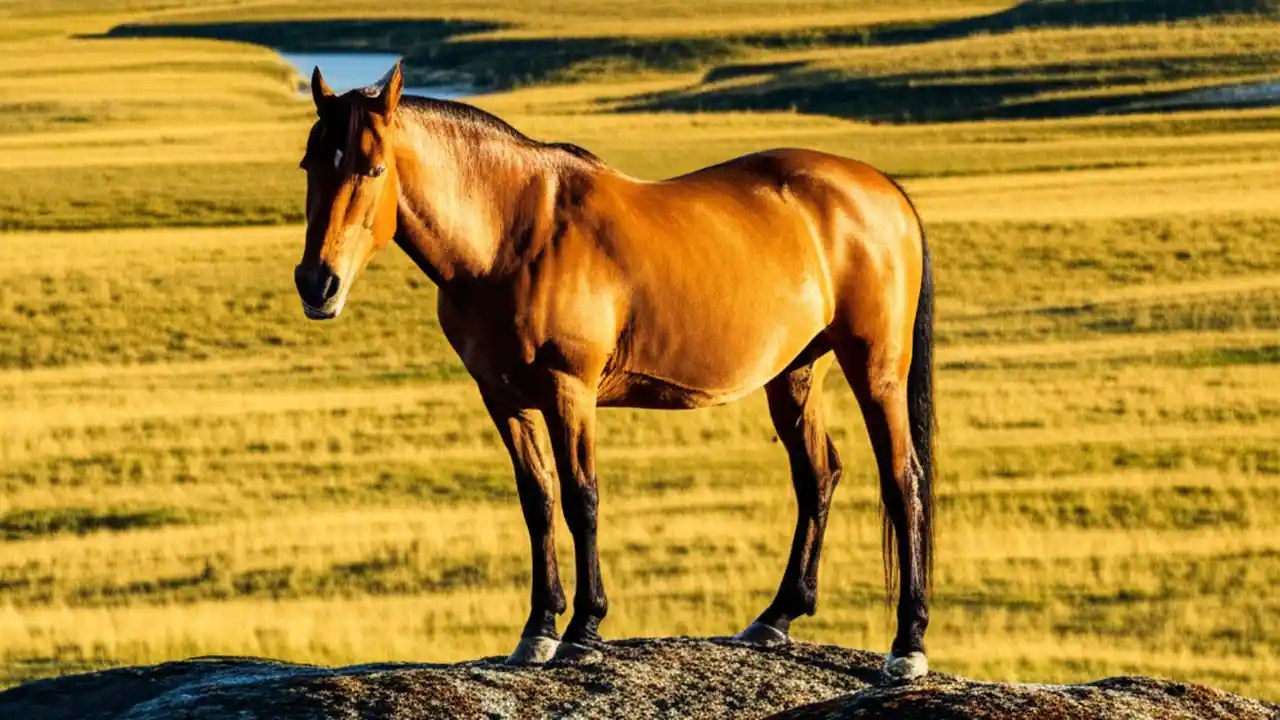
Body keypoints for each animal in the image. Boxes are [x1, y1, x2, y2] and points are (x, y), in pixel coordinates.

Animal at [294, 62, 936, 681]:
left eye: (374, 167)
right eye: (309, 164)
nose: (317, 284)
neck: (512, 236)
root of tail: (884, 191)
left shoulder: (569, 391)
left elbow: (582, 499)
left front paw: (583, 631)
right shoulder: (503, 398)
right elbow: (538, 500)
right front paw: (538, 629)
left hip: (875, 369)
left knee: (902, 481)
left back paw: (907, 644)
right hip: (795, 373)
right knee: (817, 475)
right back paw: (776, 616)